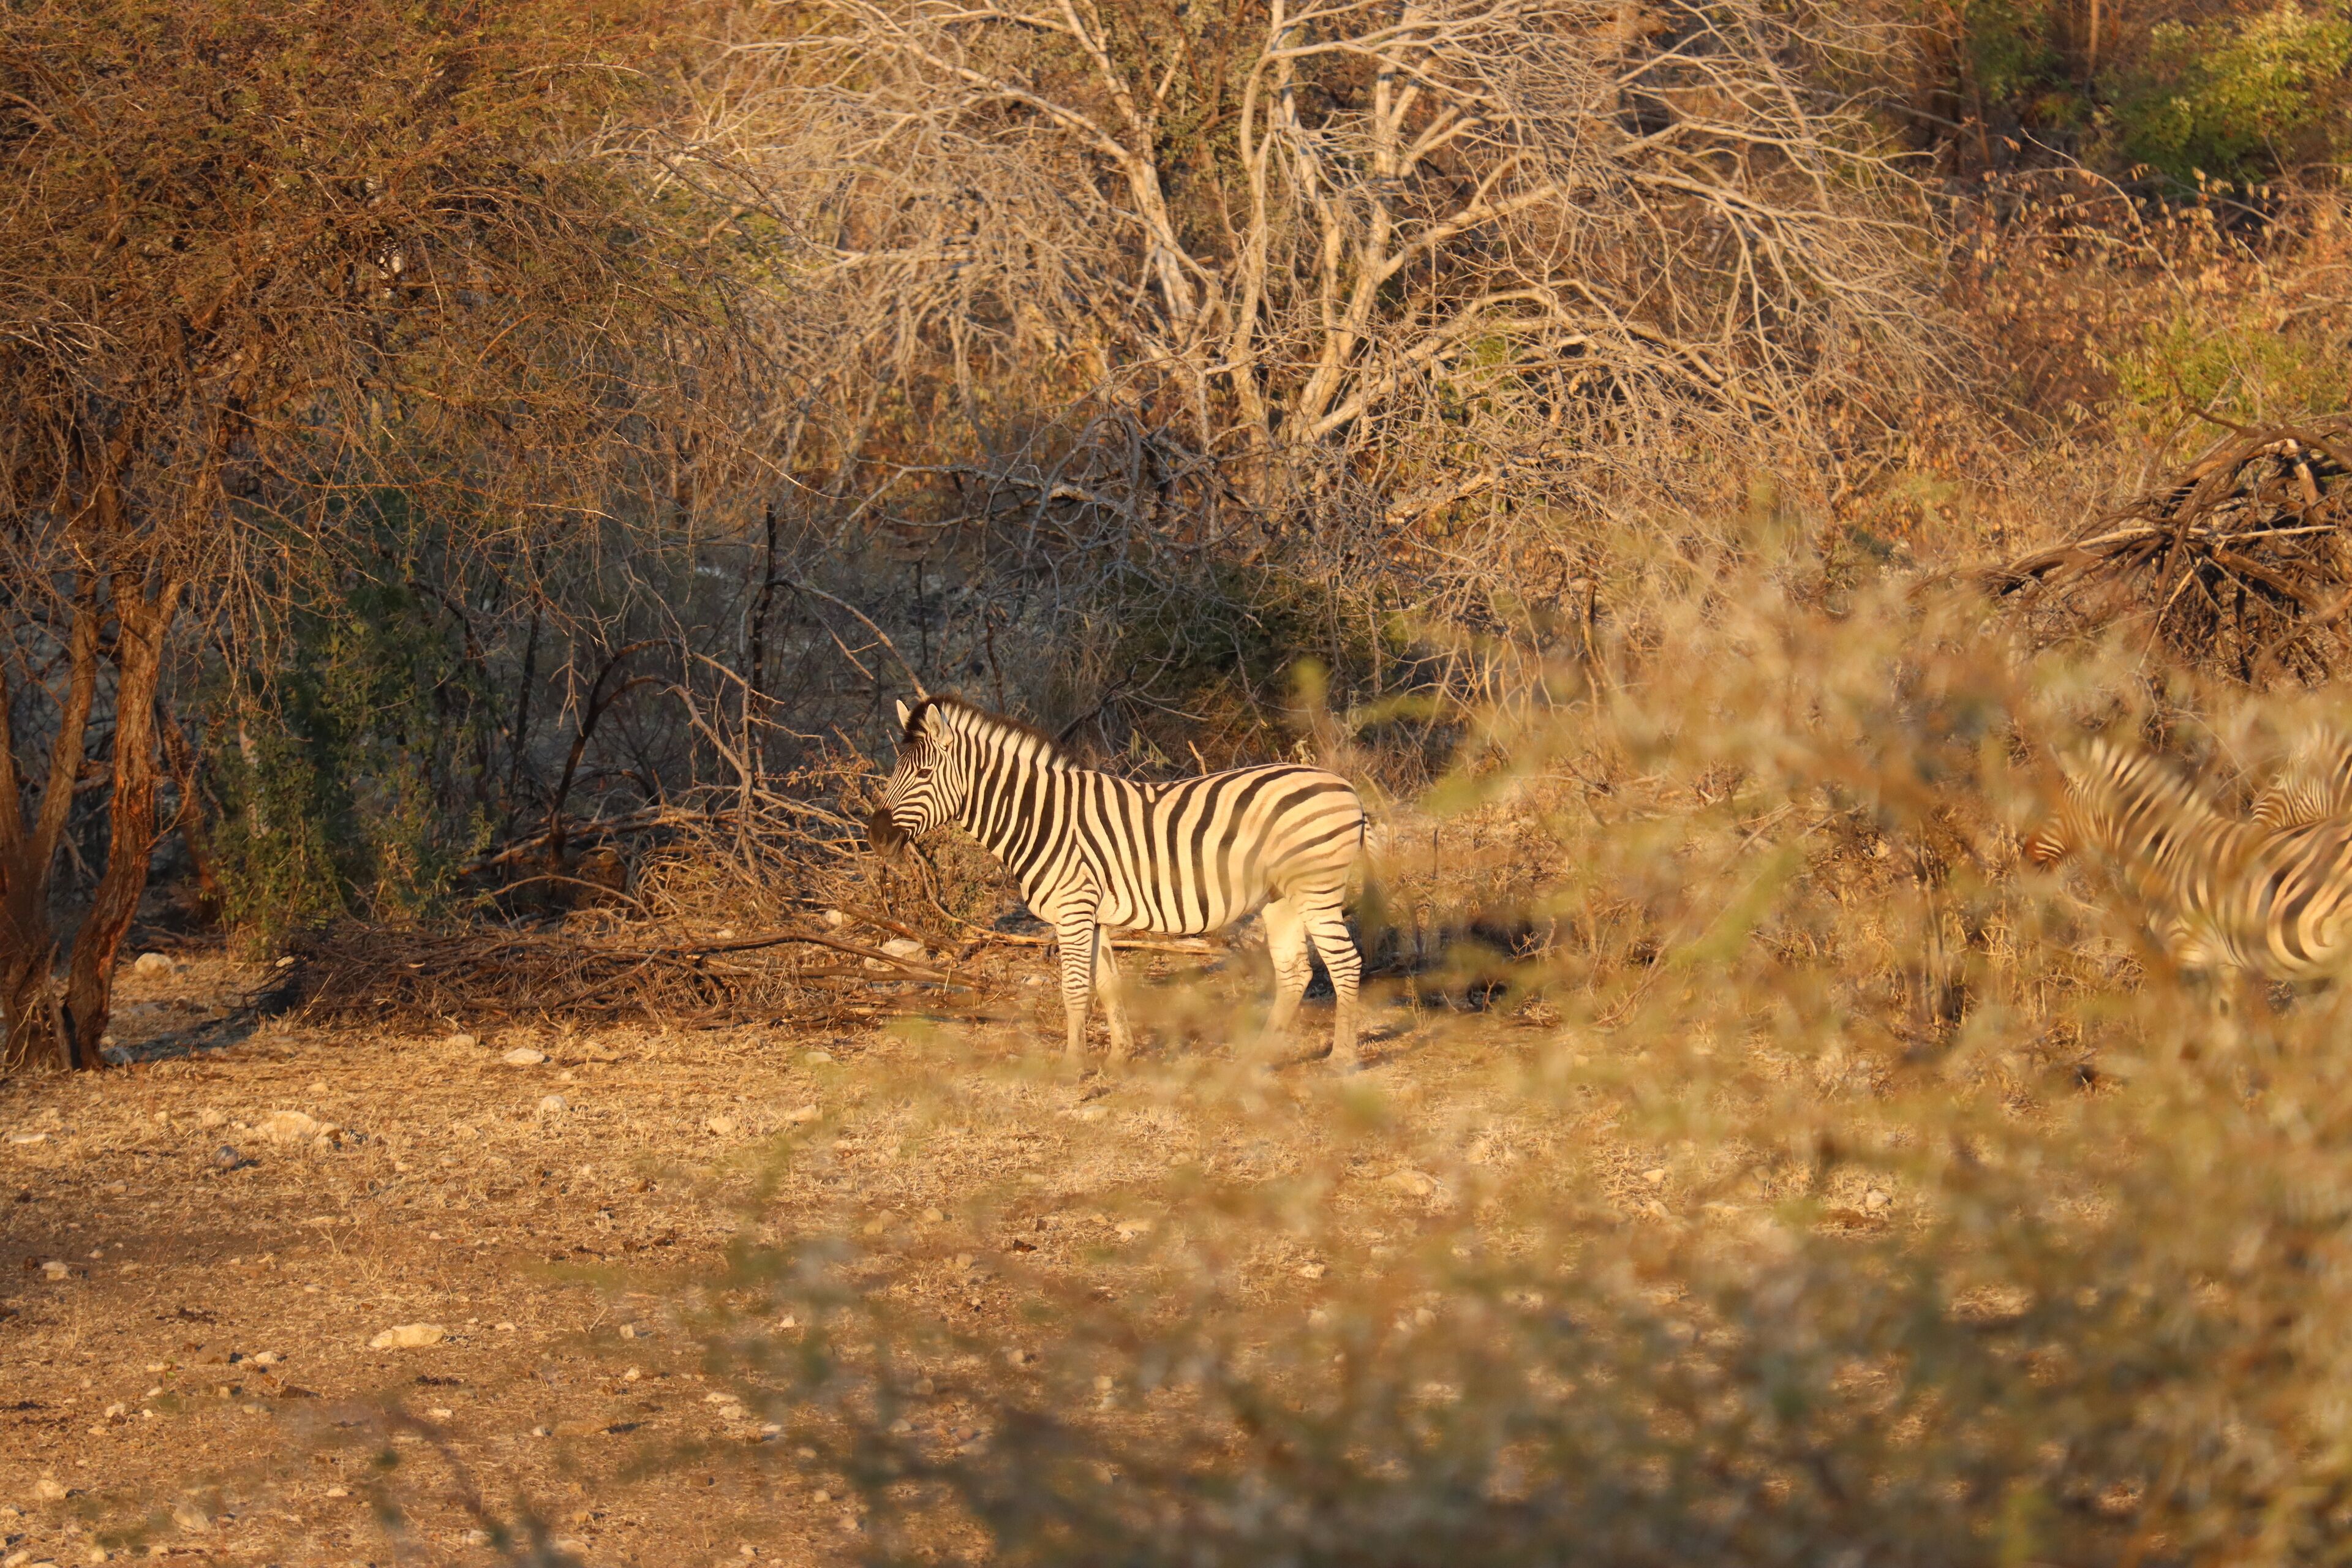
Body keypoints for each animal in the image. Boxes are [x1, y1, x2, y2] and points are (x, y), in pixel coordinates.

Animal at [866, 696, 1368, 1068]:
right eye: (894, 771)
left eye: (924, 774)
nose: (876, 837)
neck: (1040, 817)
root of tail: (1343, 785)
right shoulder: (1093, 915)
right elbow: (1107, 984)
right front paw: (1120, 1056)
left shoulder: (1072, 909)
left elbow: (1073, 990)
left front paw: (1074, 1067)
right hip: (1281, 897)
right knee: (1294, 971)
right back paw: (1259, 1057)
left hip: (1317, 890)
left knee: (1345, 964)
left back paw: (1340, 1060)